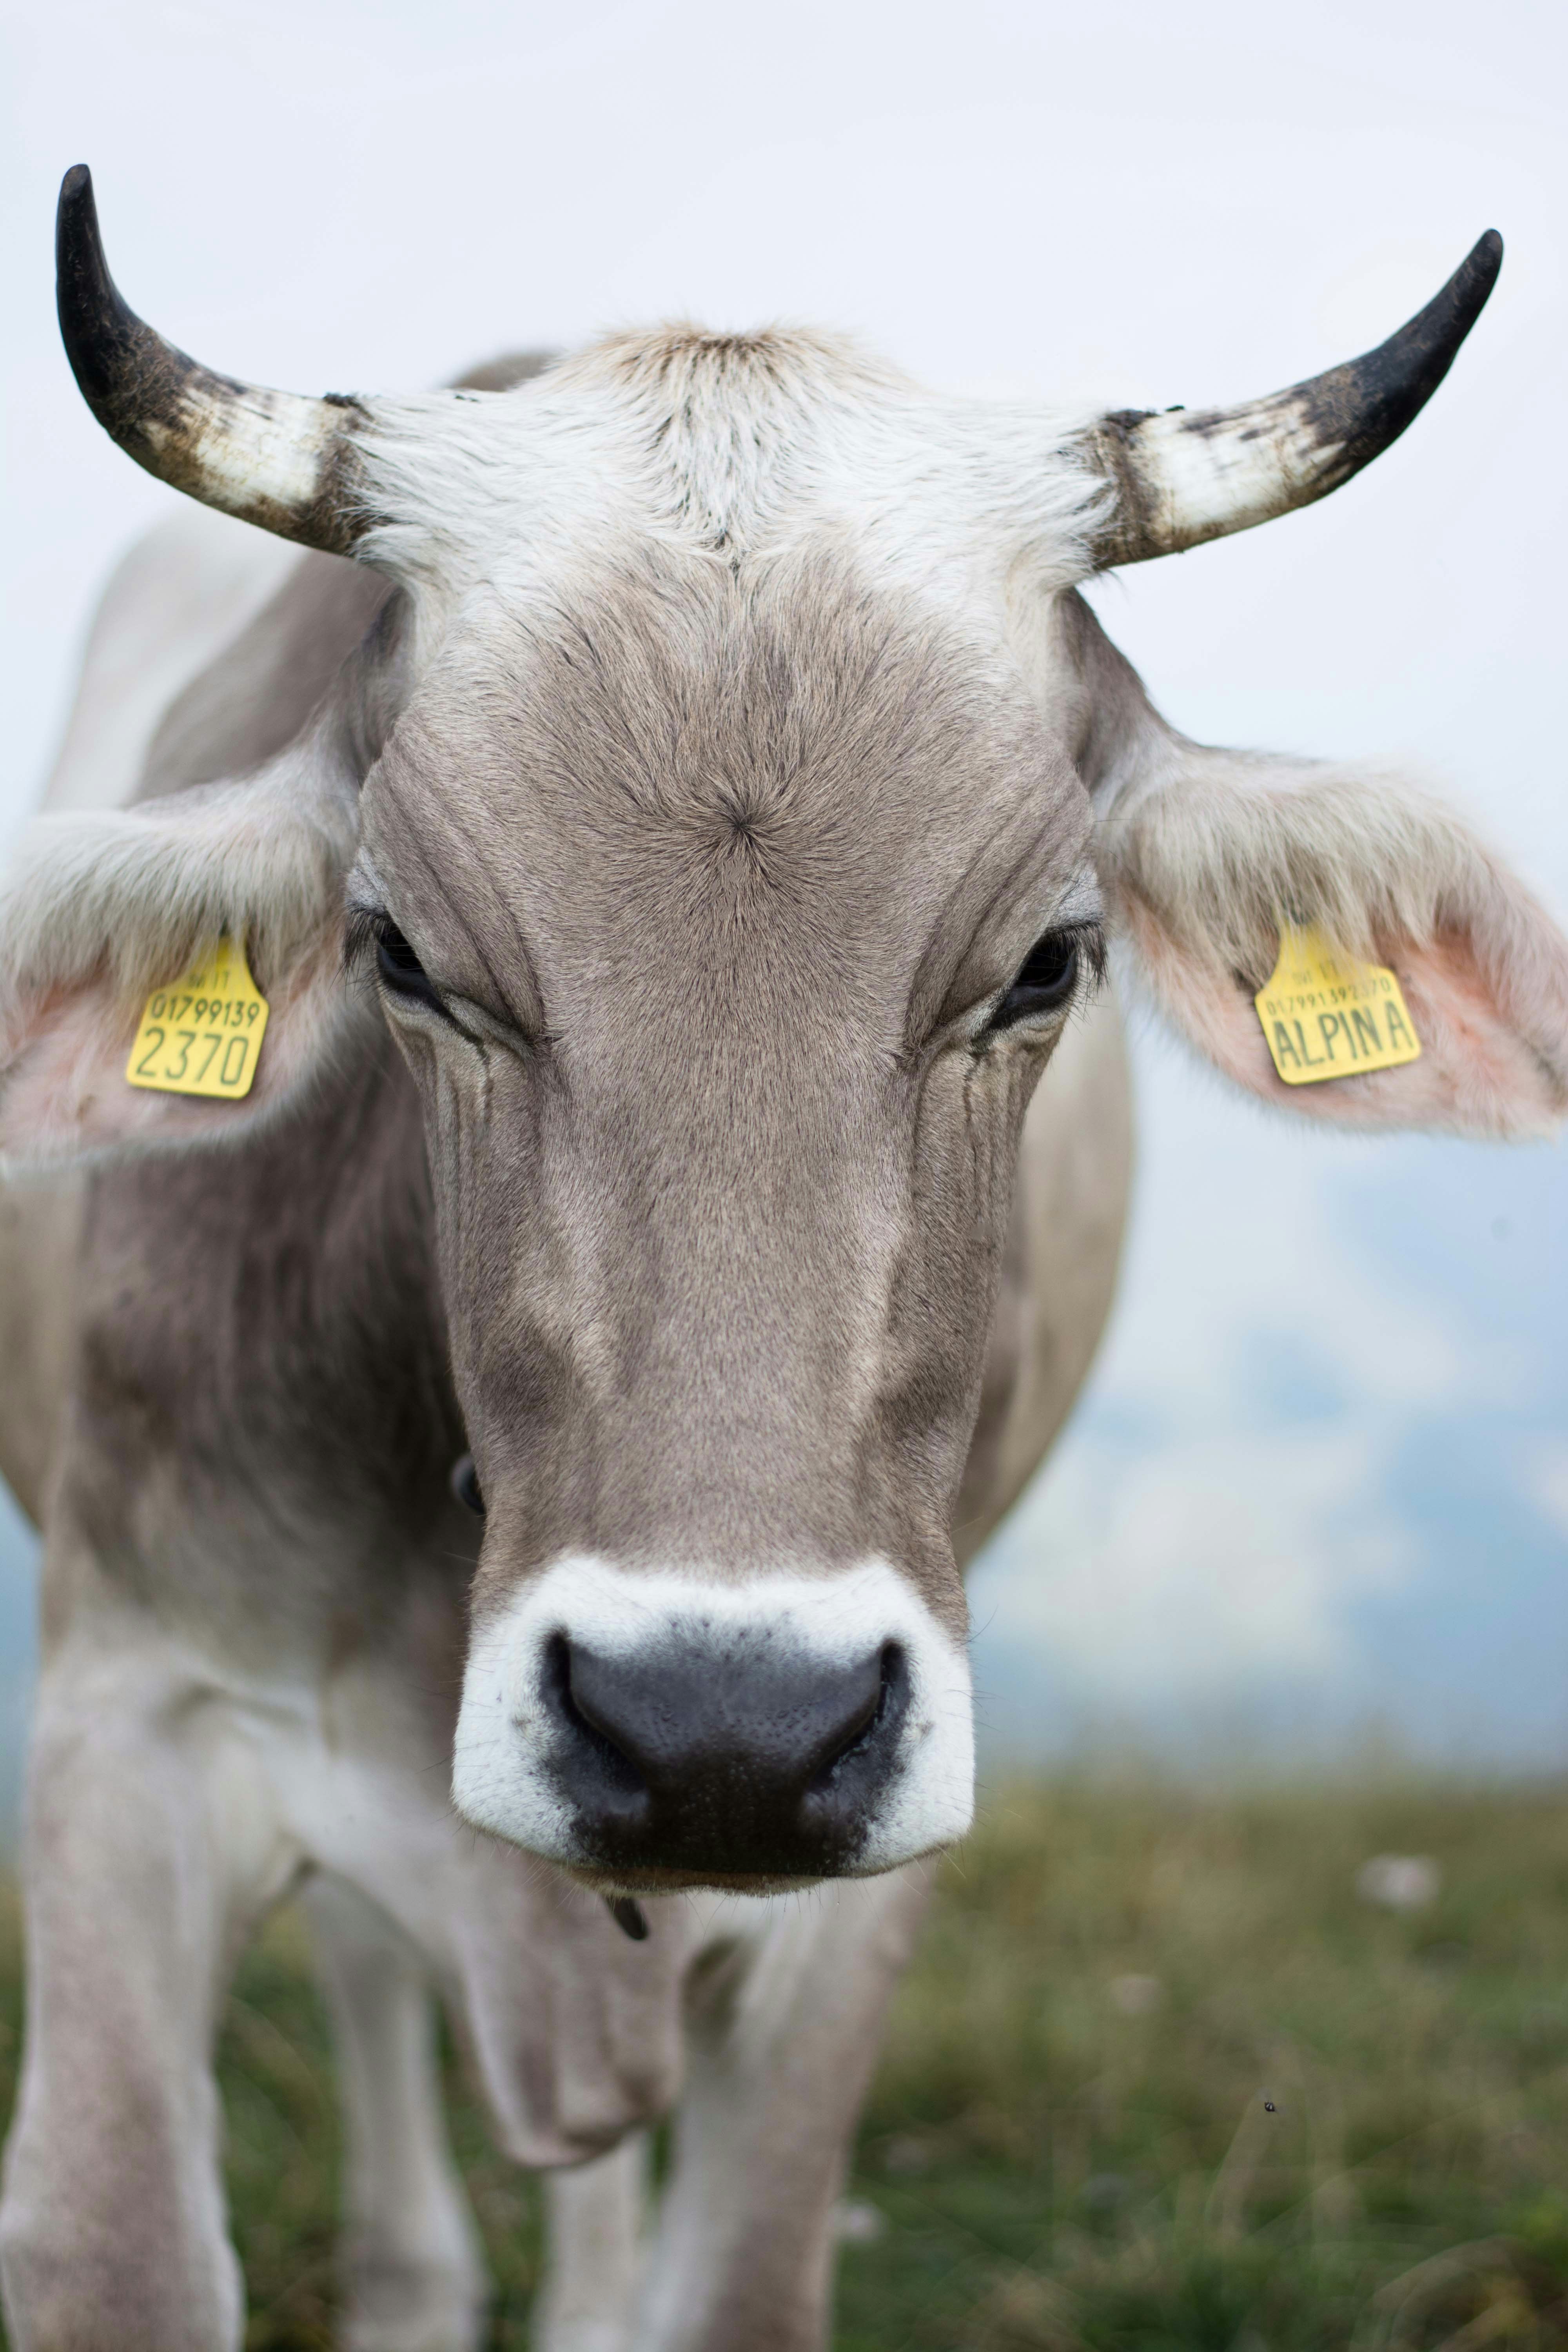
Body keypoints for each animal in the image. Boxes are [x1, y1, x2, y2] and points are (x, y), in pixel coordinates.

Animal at [0, 163, 1562, 2352]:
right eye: (400, 951)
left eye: (1045, 962)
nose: (713, 1729)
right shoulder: (129, 1719)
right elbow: (116, 2247)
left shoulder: (860, 1889)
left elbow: (731, 2279)